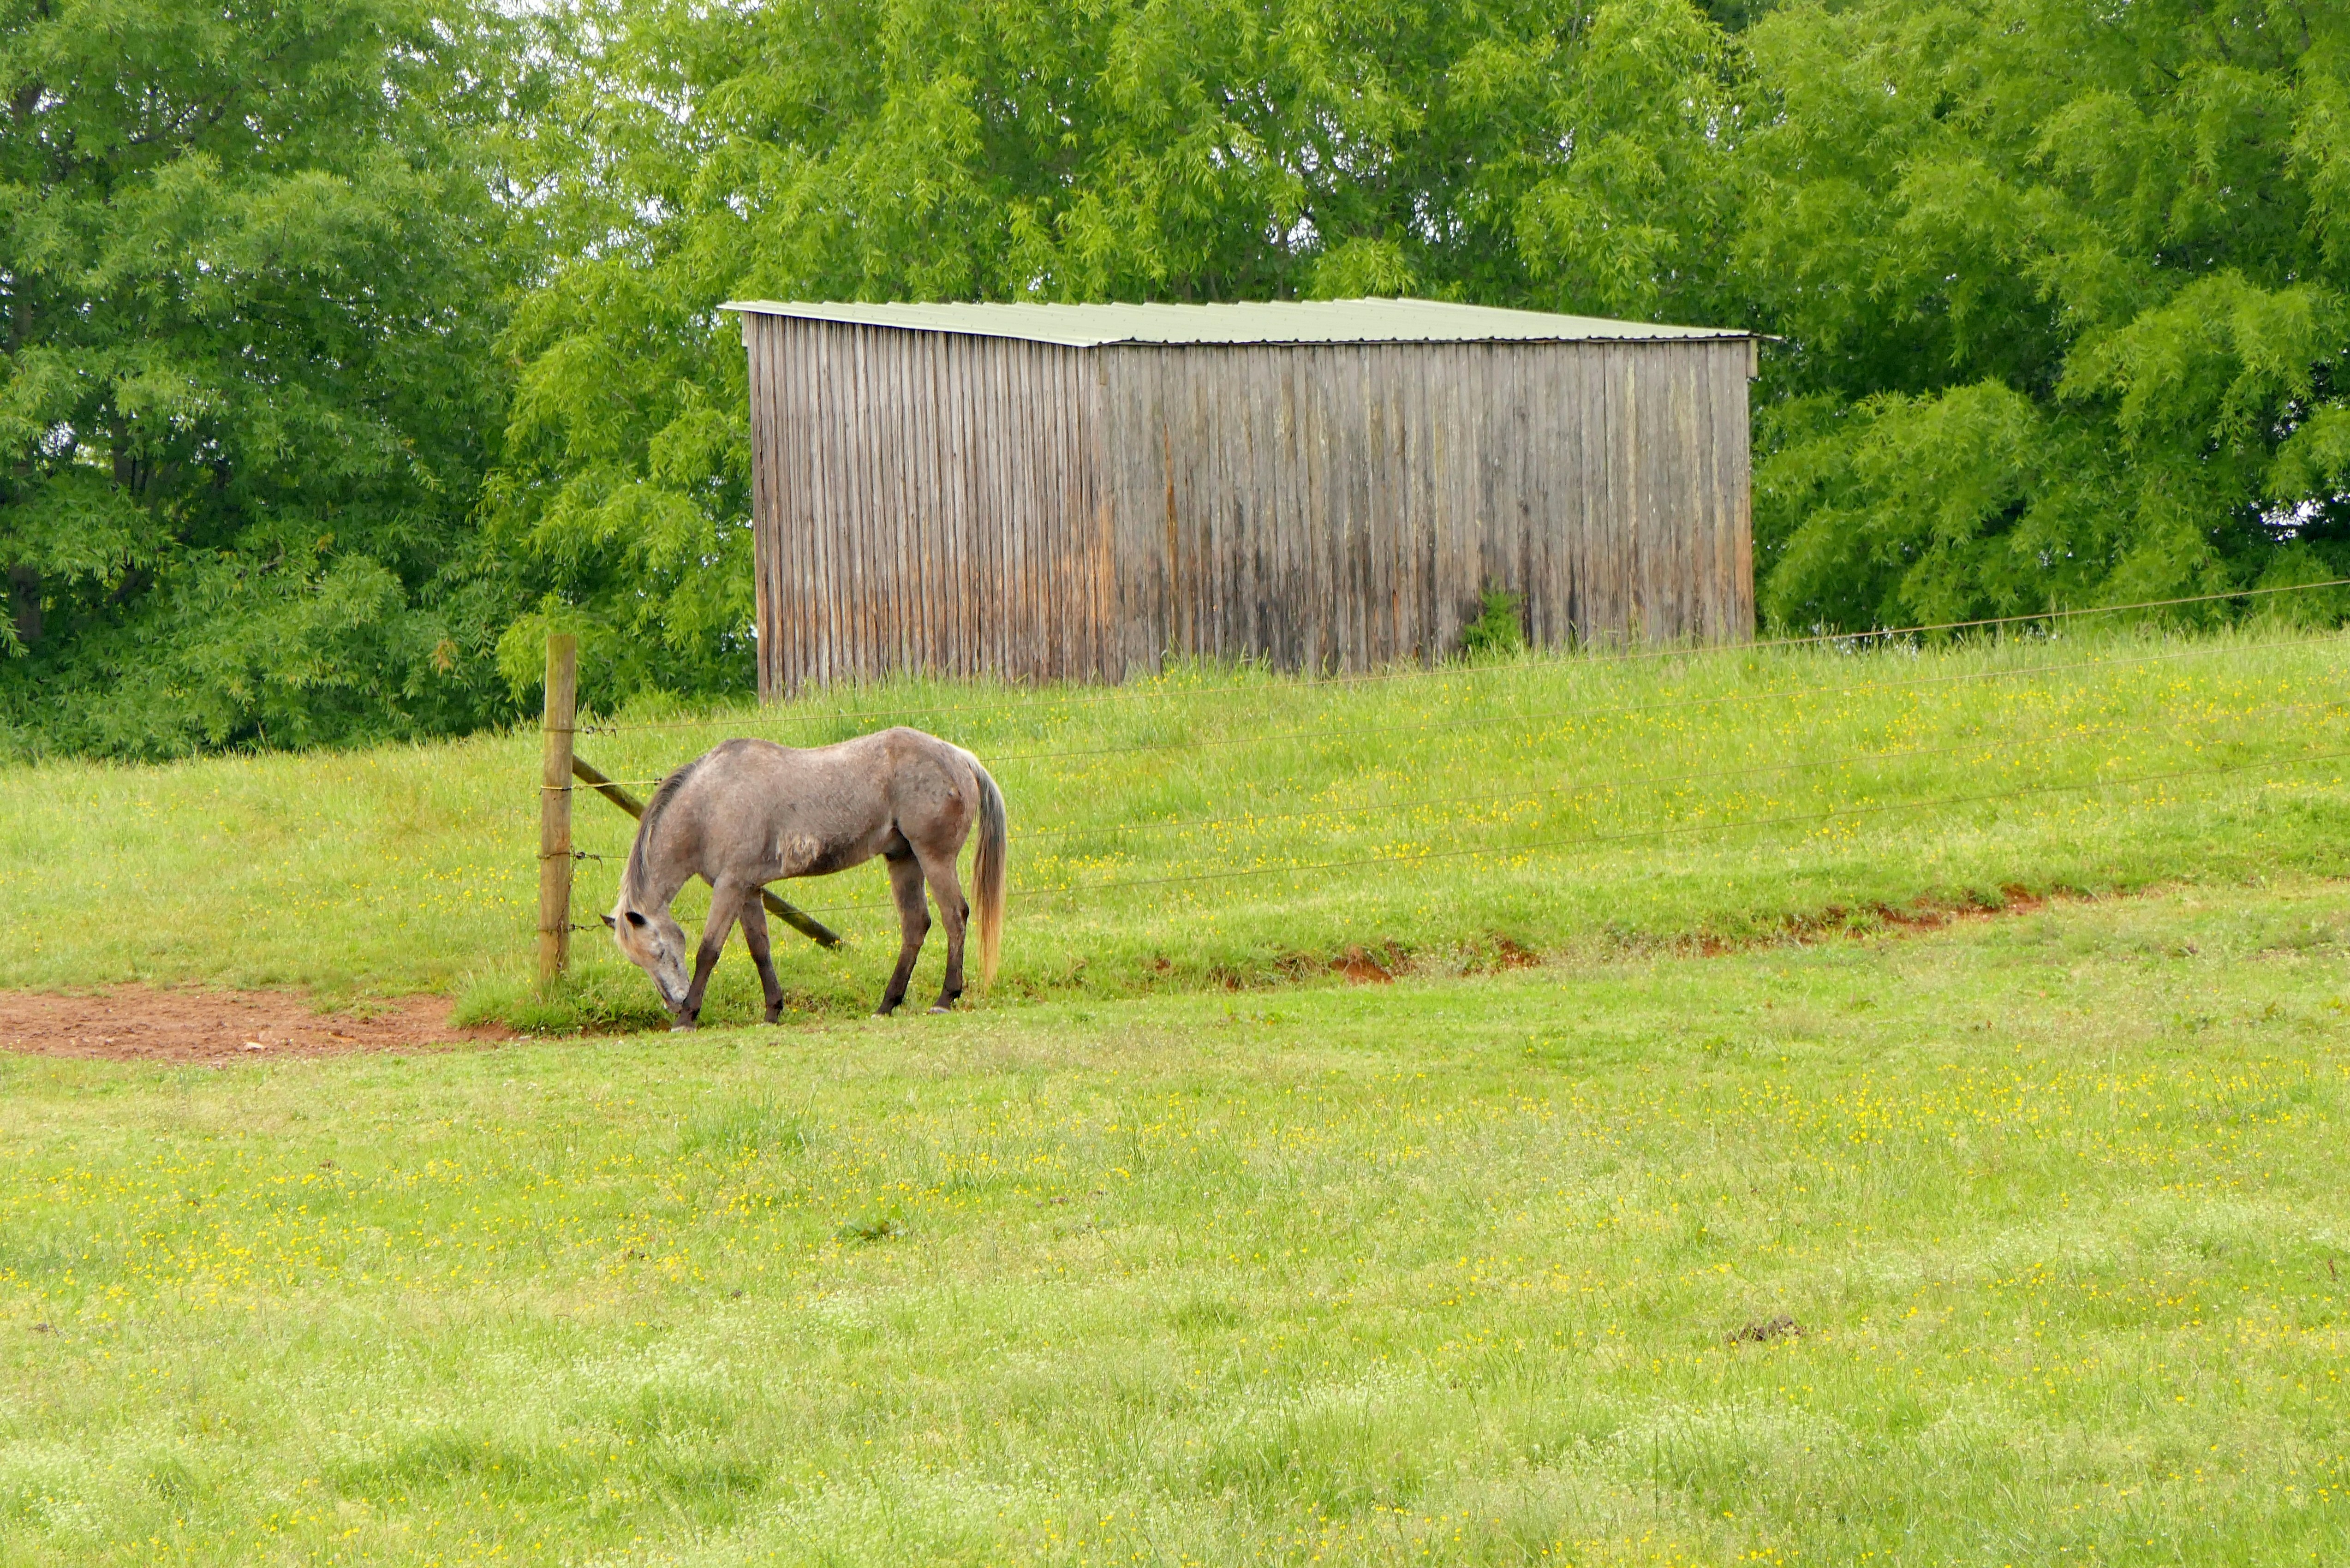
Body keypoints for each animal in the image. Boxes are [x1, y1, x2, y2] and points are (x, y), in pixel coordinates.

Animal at [603, 728, 1005, 1028]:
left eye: (660, 951)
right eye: (640, 962)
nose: (674, 1002)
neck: (711, 805)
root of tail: (959, 756)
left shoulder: (730, 886)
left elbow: (709, 950)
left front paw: (688, 1018)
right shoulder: (748, 889)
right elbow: (760, 949)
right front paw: (772, 1011)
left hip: (934, 858)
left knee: (955, 917)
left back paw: (945, 997)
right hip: (903, 859)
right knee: (916, 925)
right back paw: (887, 1004)